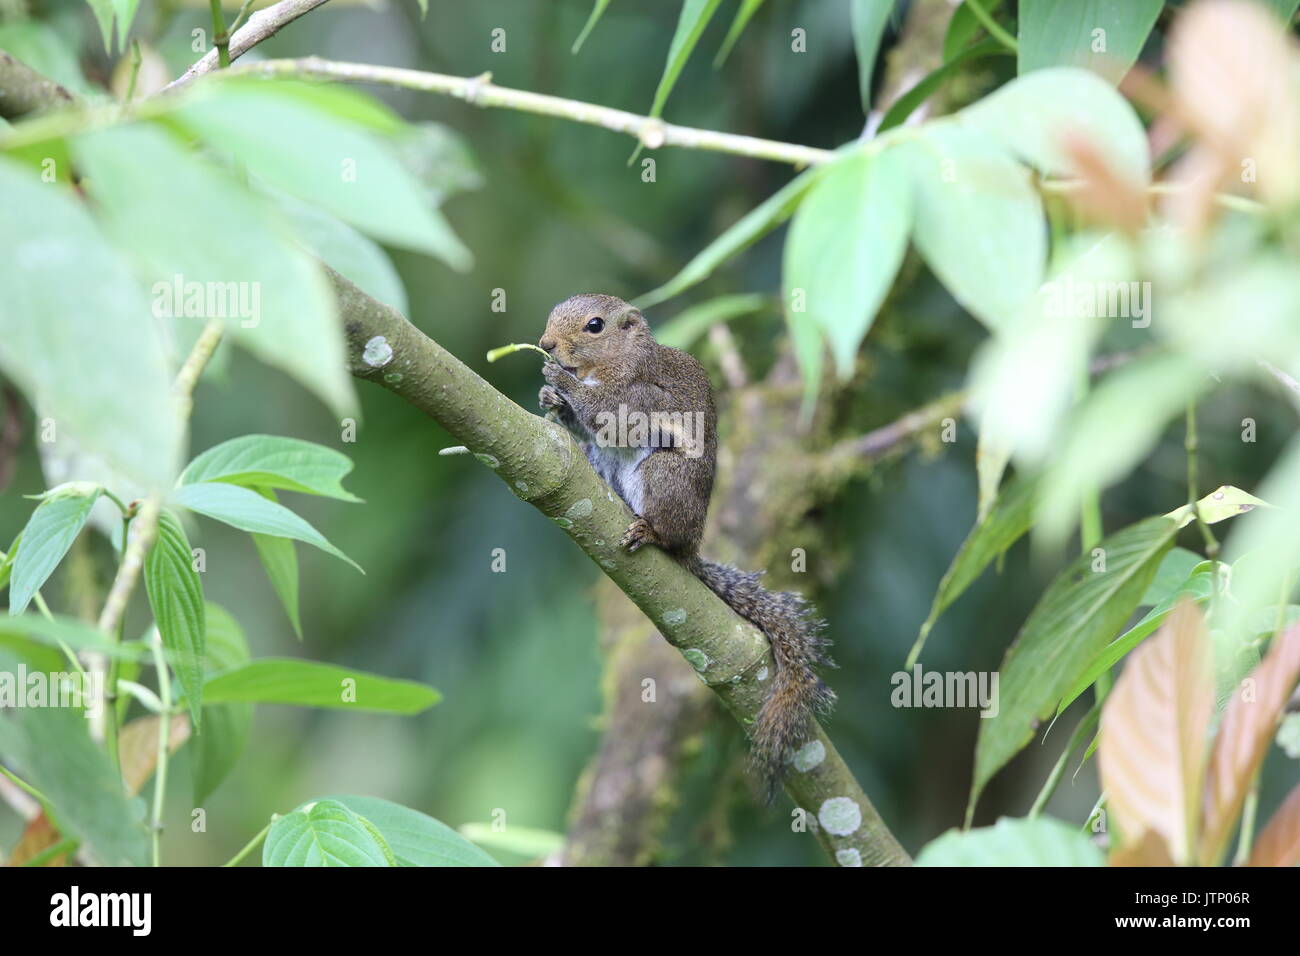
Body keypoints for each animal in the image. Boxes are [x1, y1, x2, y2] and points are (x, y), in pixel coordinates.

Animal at [537, 293, 834, 800]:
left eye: (594, 326)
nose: (545, 345)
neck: (619, 361)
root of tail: (691, 545)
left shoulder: (642, 396)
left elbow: (611, 418)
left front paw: (559, 381)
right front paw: (550, 398)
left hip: (663, 476)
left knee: (664, 523)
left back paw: (650, 532)